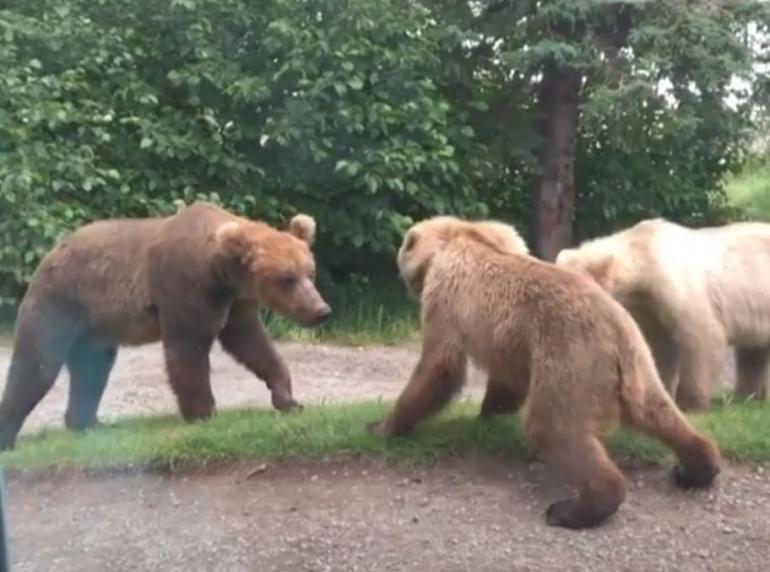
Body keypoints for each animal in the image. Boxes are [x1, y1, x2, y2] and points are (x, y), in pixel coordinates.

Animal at [0, 201, 330, 451]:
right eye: (287, 278)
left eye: (309, 272)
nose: (321, 310)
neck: (221, 272)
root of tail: (50, 252)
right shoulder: (185, 288)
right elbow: (188, 350)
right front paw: (204, 413)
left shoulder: (236, 302)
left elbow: (252, 344)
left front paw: (289, 400)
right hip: (60, 302)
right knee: (36, 365)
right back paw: (10, 436)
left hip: (95, 329)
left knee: (91, 371)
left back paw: (86, 423)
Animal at [367, 215, 721, 529]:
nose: (403, 281)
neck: (454, 240)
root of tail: (617, 331)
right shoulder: (511, 338)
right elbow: (504, 381)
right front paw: (488, 414)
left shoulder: (448, 296)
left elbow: (439, 364)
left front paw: (384, 424)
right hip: (638, 365)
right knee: (660, 413)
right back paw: (695, 469)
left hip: (569, 359)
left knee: (553, 426)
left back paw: (572, 509)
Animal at [555, 218, 770, 412]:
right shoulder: (649, 308)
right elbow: (660, 346)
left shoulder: (679, 288)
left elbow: (702, 338)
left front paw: (690, 404)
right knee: (754, 351)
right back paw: (749, 395)